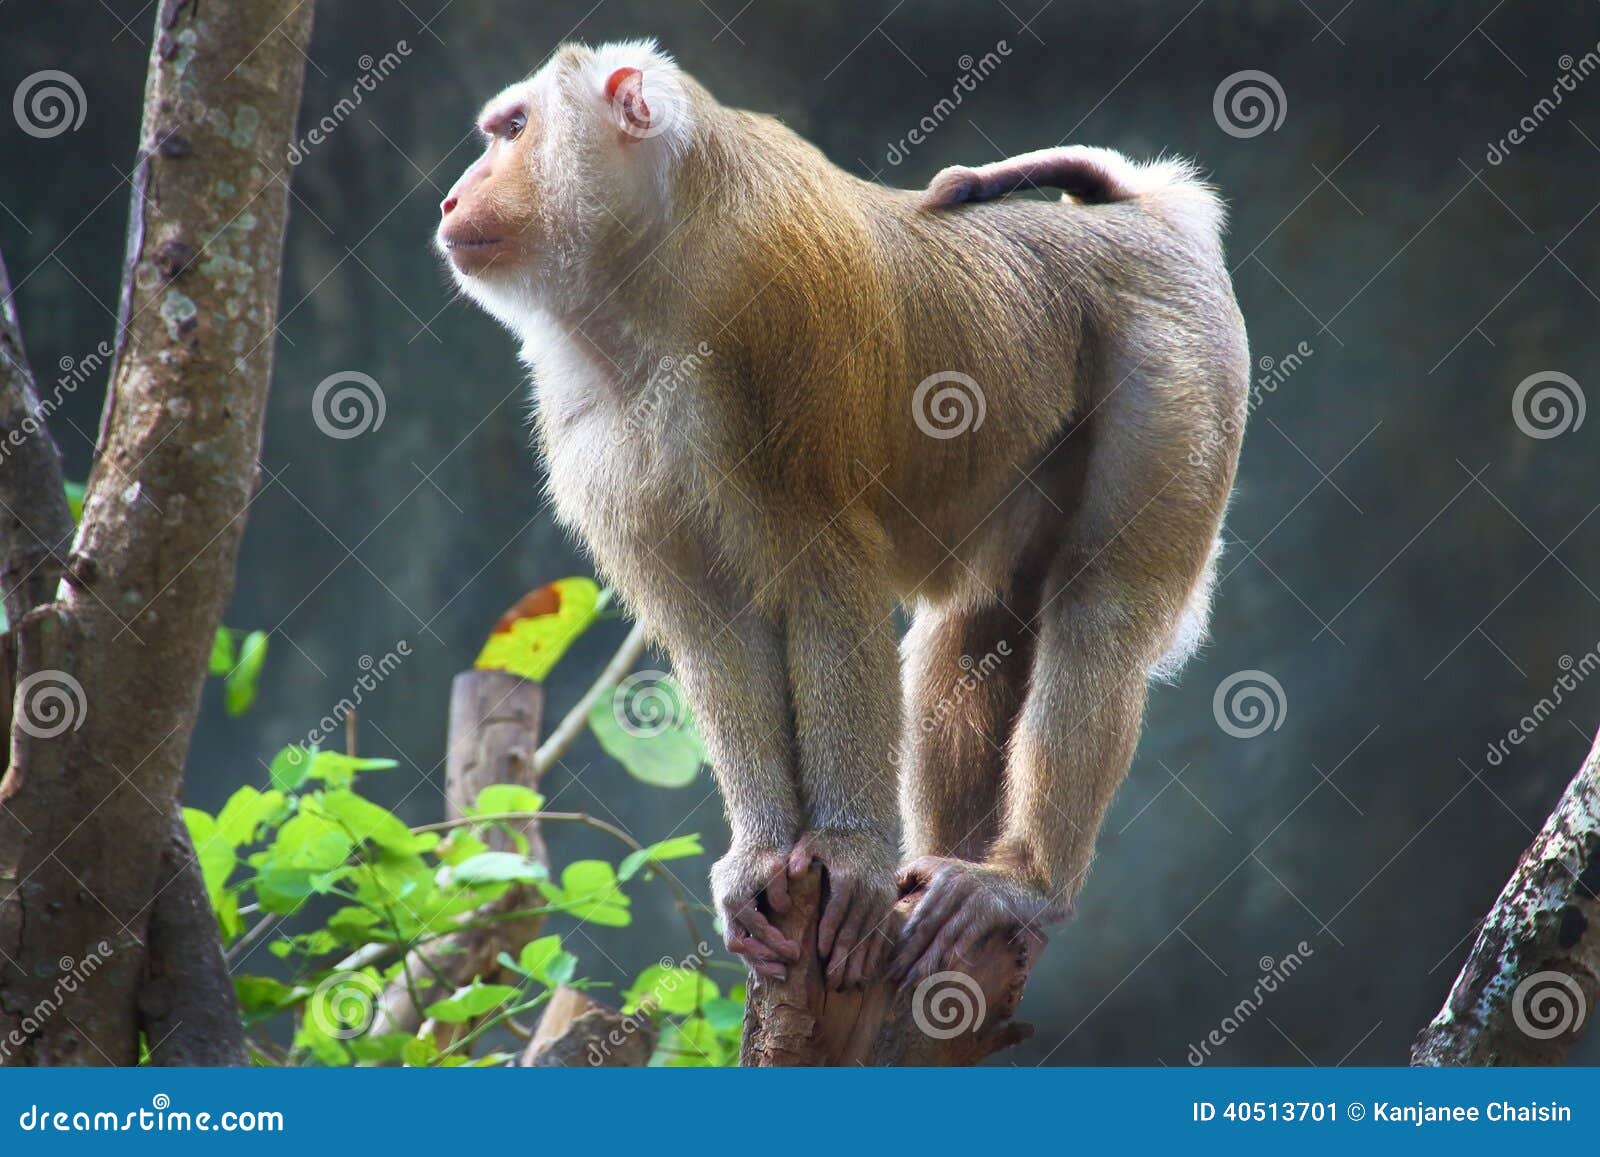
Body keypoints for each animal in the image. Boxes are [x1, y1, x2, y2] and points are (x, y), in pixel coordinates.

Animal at [436, 40, 1247, 992]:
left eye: (514, 130)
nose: (453, 197)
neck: (651, 265)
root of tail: (1150, 214)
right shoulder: (591, 422)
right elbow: (716, 623)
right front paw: (761, 854)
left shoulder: (779, 317)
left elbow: (828, 577)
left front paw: (847, 854)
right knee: (982, 623)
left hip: (1182, 361)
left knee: (1101, 614)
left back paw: (1021, 884)